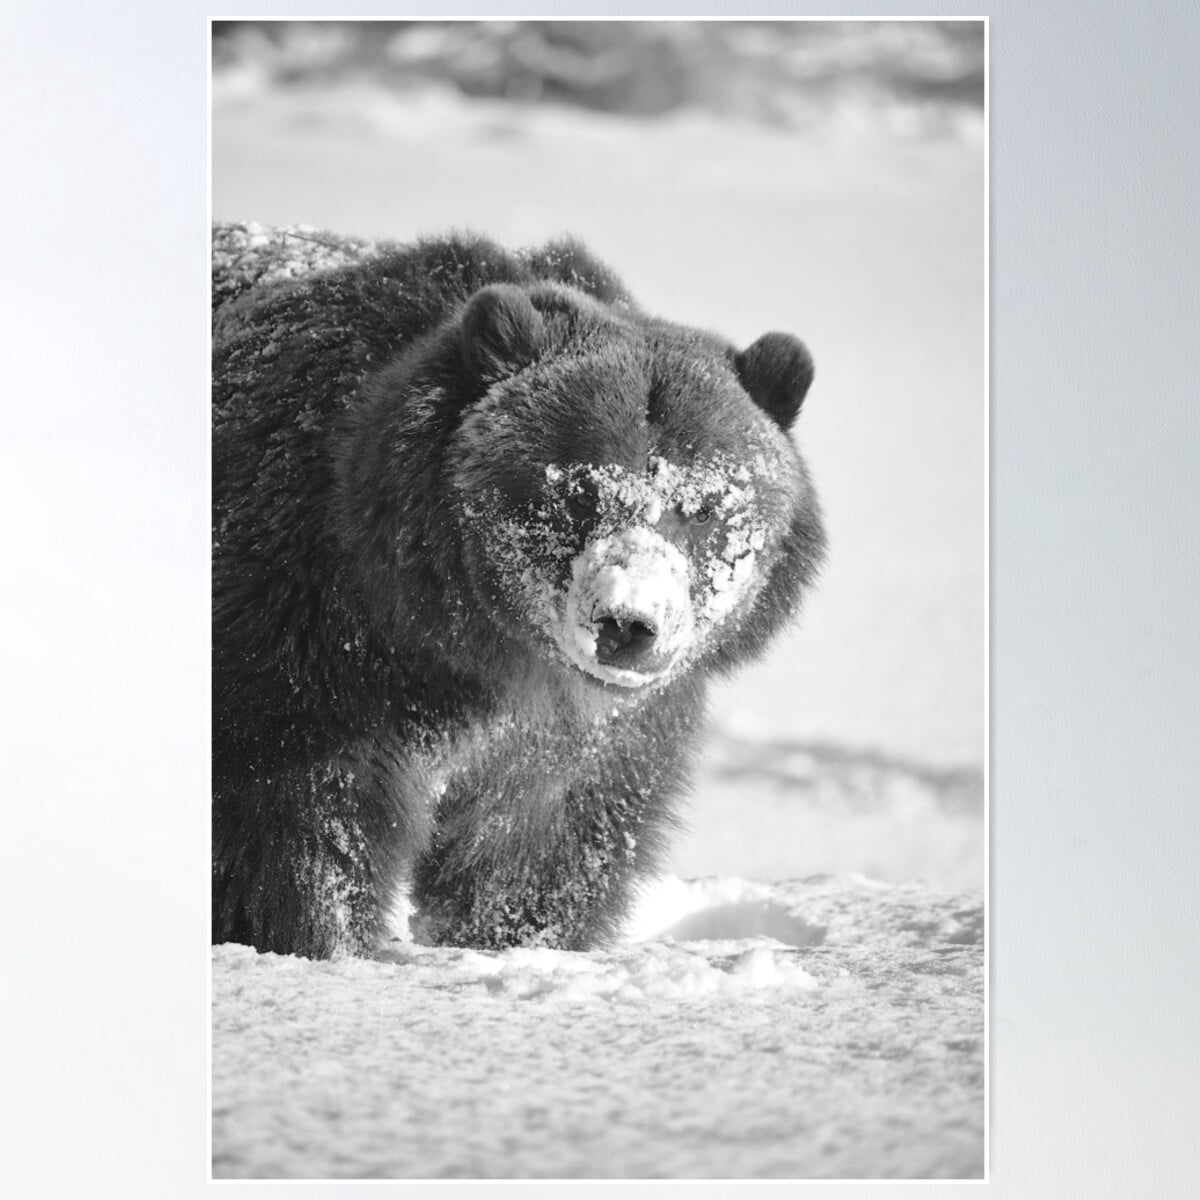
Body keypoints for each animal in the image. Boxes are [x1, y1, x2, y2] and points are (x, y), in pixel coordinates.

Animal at [212, 222, 825, 958]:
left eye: (703, 507)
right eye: (577, 489)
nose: (627, 624)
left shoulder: (585, 742)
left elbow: (537, 853)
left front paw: (511, 940)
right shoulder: (311, 643)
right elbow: (302, 825)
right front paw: (323, 941)